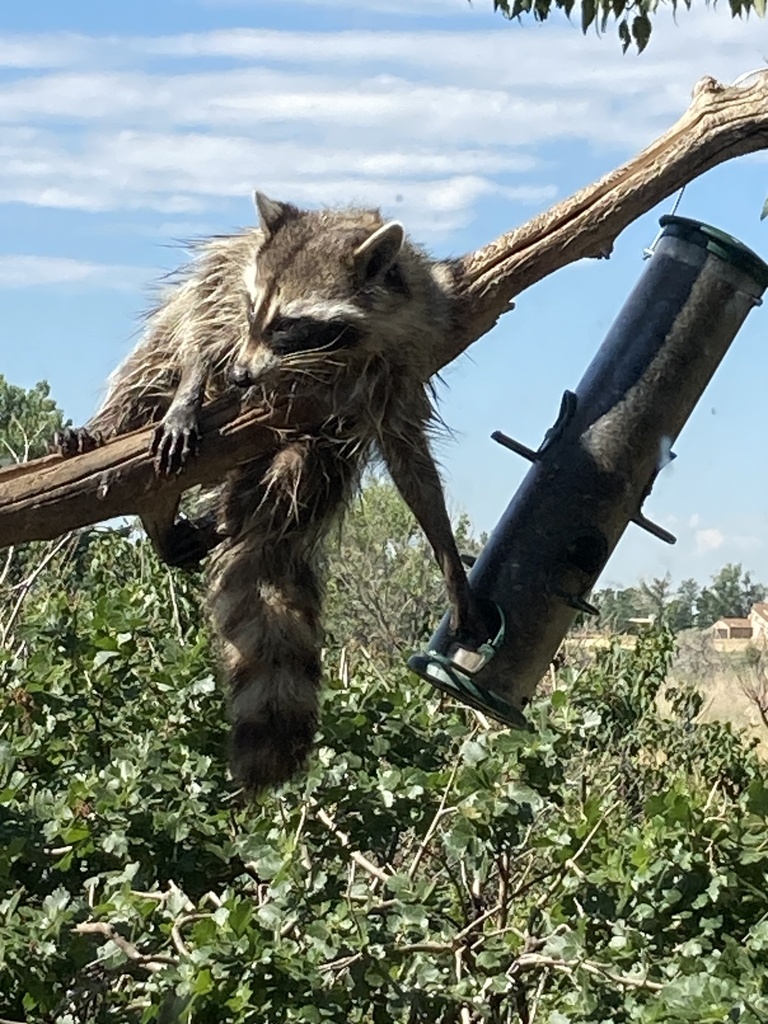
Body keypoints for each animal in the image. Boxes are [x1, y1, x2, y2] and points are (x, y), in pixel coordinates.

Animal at [57, 192, 488, 791]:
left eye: (289, 323)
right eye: (253, 307)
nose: (240, 376)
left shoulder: (408, 350)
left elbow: (411, 463)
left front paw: (446, 555)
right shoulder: (226, 286)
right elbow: (201, 334)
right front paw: (191, 389)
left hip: (304, 453)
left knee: (292, 476)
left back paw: (218, 516)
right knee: (151, 365)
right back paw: (116, 437)